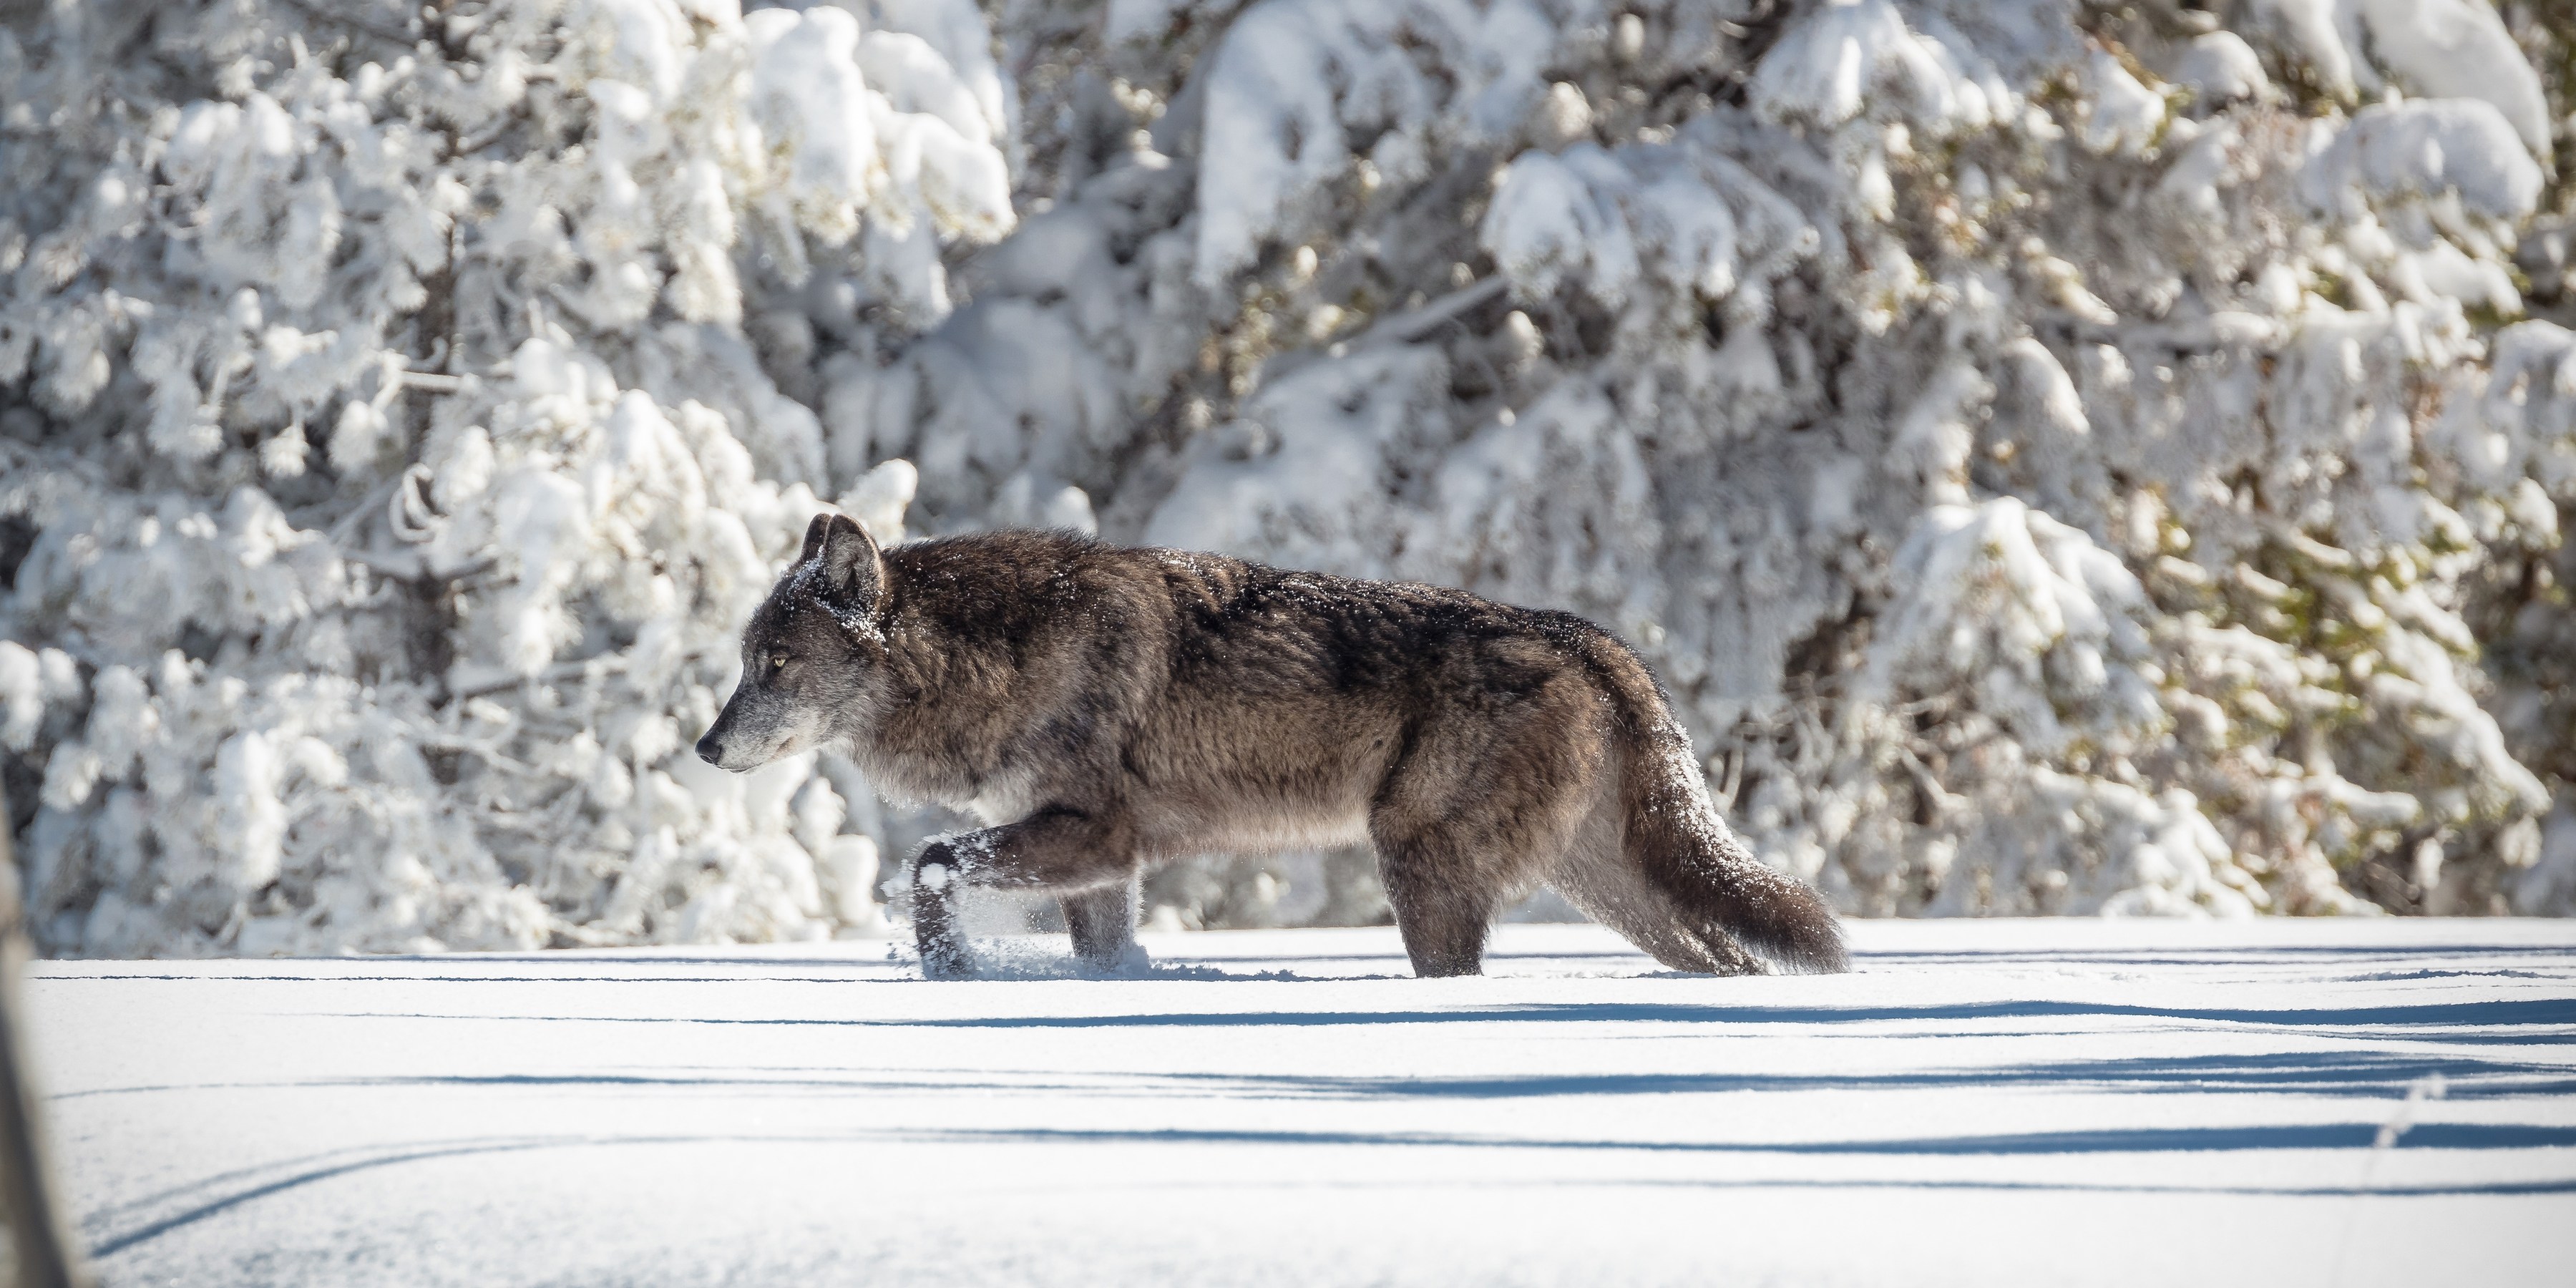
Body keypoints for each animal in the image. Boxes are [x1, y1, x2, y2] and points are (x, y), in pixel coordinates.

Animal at [697, 513, 1848, 979]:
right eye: (746, 662)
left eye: (776, 666)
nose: (705, 748)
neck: (997, 656)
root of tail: (1589, 638)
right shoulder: (1103, 866)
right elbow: (1095, 950)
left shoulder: (1093, 834)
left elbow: (928, 865)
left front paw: (951, 974)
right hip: (1606, 889)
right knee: (1728, 958)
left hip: (1421, 865)